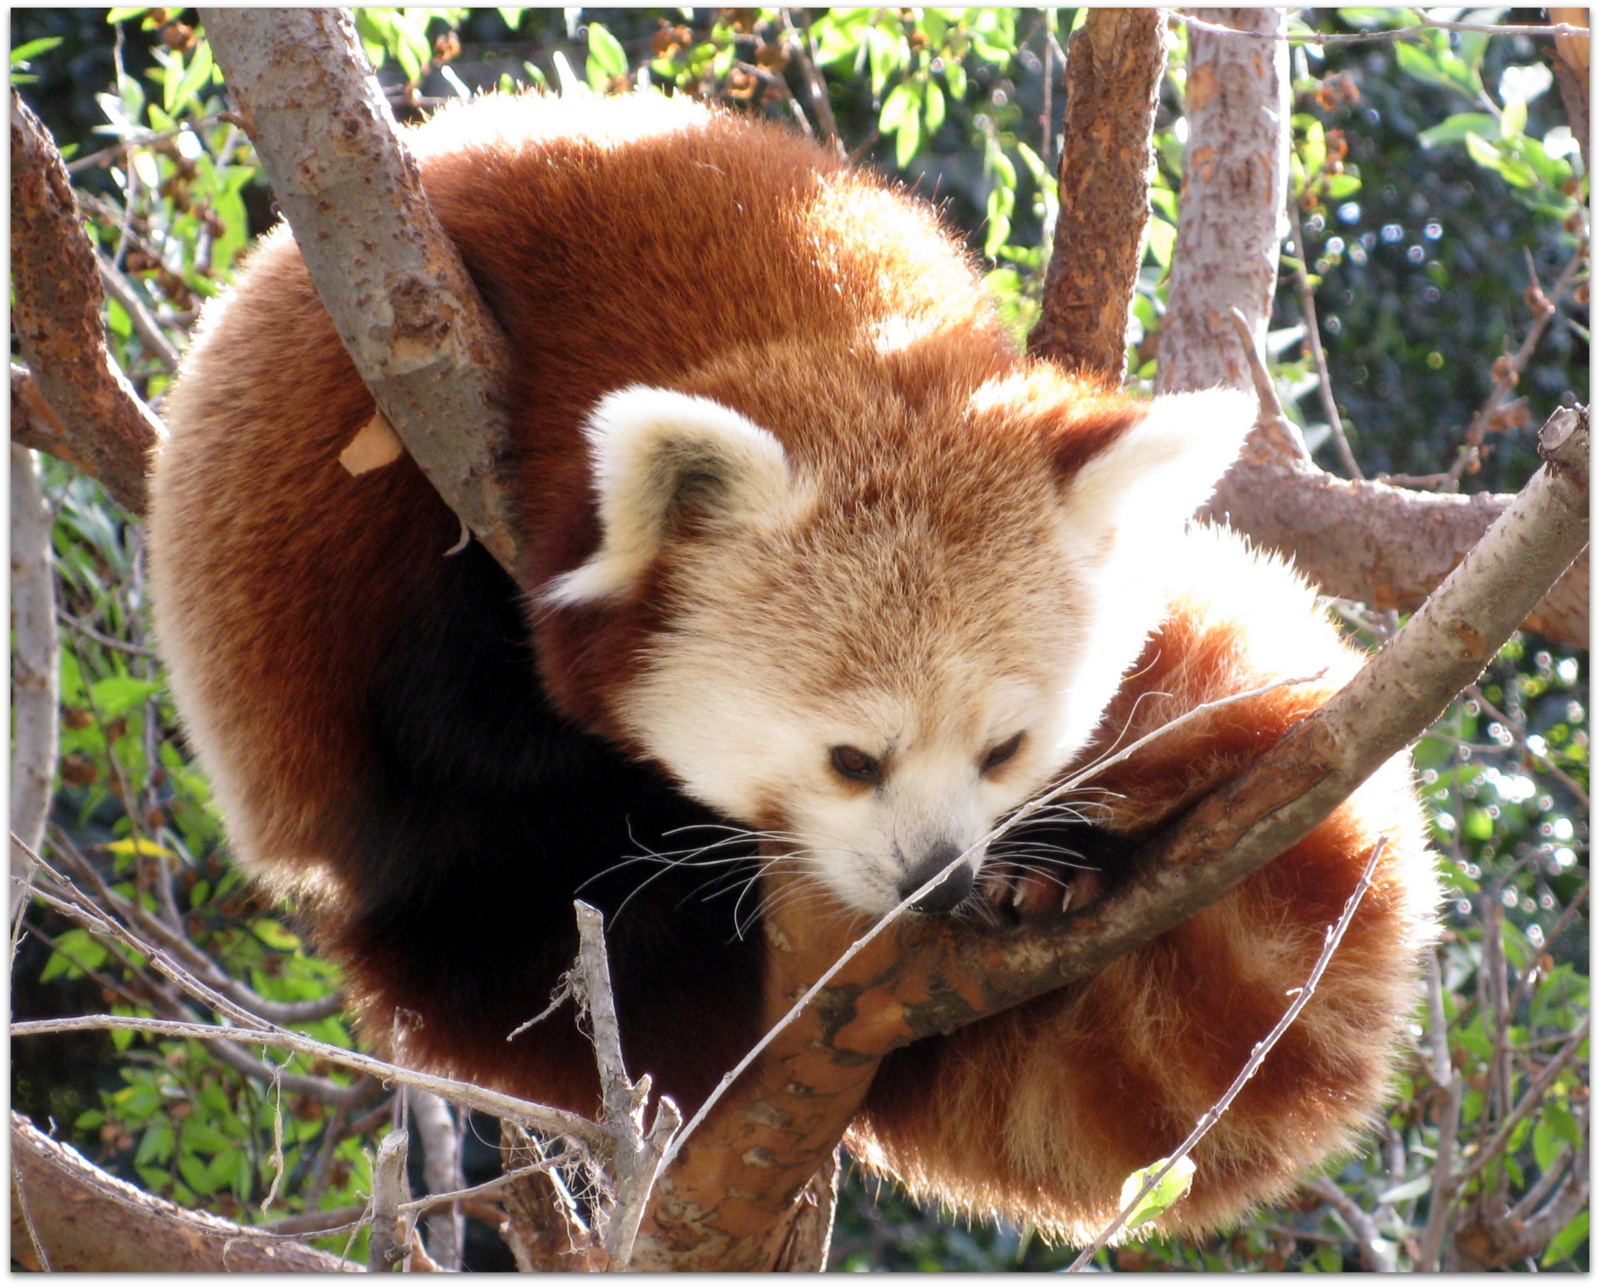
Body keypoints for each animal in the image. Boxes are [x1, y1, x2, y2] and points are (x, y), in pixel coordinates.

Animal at [146, 91, 1438, 1242]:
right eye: (851, 759)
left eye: (1004, 749)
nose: (937, 883)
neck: (797, 303)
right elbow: (463, 715)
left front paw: (1047, 857)